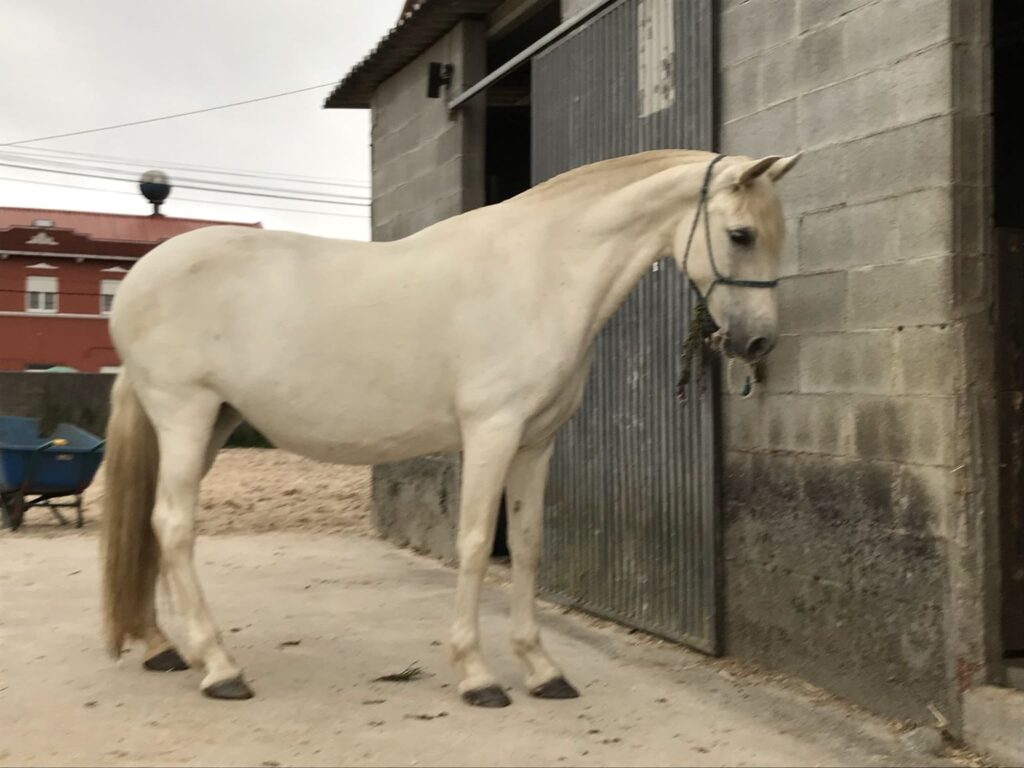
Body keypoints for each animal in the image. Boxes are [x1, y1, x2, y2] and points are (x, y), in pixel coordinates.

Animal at [101, 148, 800, 706]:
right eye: (740, 233)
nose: (758, 342)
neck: (542, 272)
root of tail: (138, 279)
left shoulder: (536, 442)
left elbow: (527, 546)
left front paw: (542, 670)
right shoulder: (491, 433)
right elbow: (474, 544)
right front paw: (478, 676)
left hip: (212, 424)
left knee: (156, 528)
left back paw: (168, 649)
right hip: (186, 414)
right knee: (174, 526)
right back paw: (220, 669)